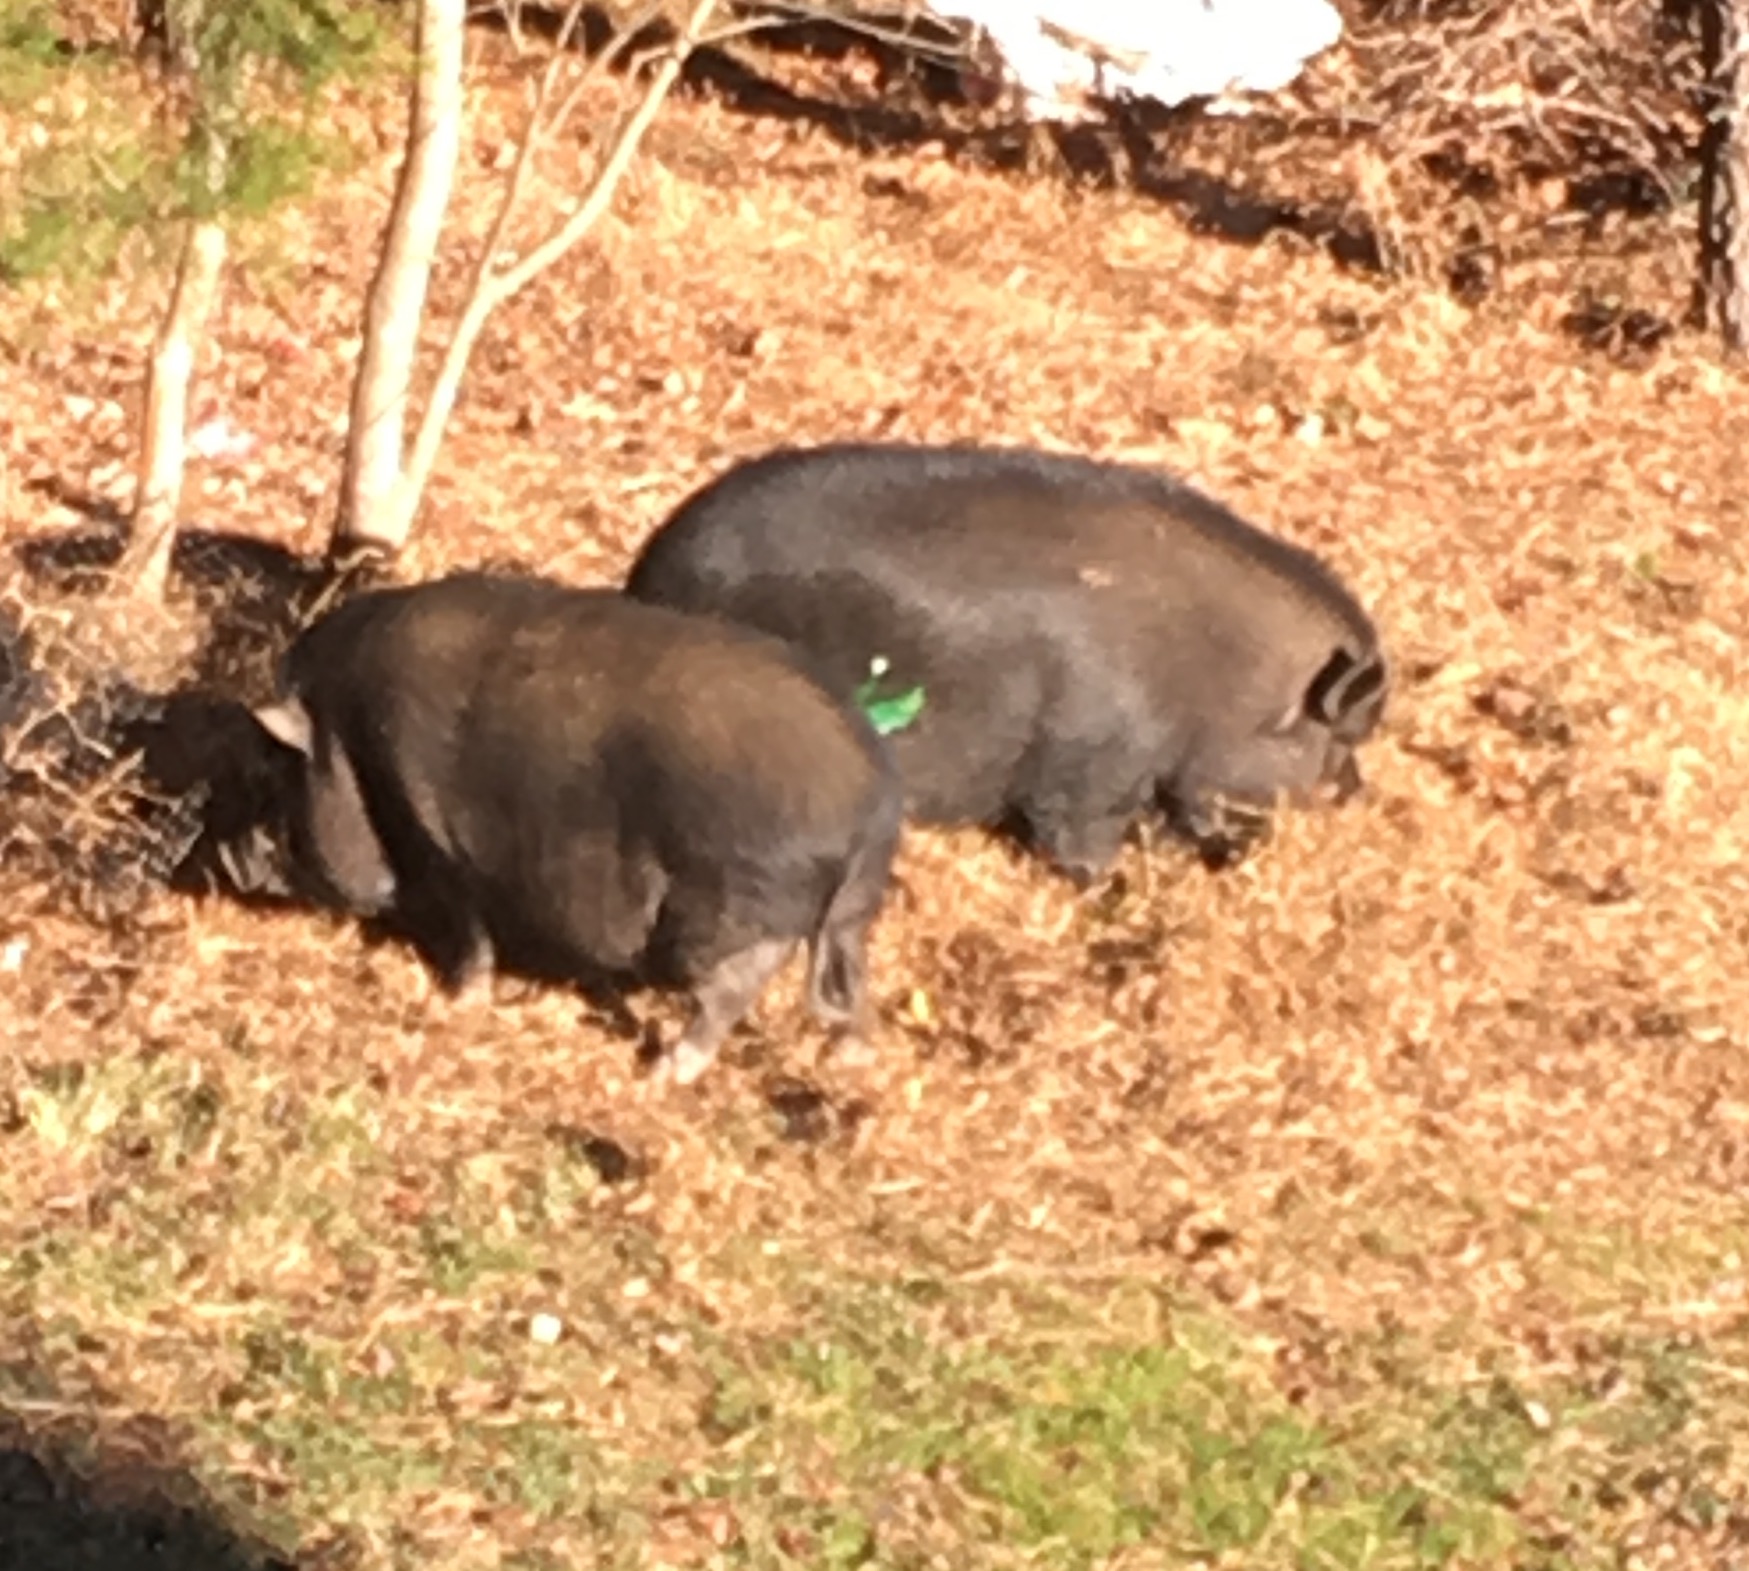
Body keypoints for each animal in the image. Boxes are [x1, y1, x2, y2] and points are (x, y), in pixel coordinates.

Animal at [244, 570, 903, 1087]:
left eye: (279, 776)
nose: (239, 861)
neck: (351, 736)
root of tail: (868, 807)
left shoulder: (443, 847)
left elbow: (470, 931)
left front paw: (460, 999)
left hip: (731, 913)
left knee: (729, 990)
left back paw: (663, 1072)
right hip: (854, 909)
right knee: (852, 974)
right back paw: (848, 1058)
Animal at [623, 441, 1388, 883]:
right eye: (1335, 739)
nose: (1355, 791)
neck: (1215, 679)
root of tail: (647, 574)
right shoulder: (1090, 758)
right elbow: (1076, 837)